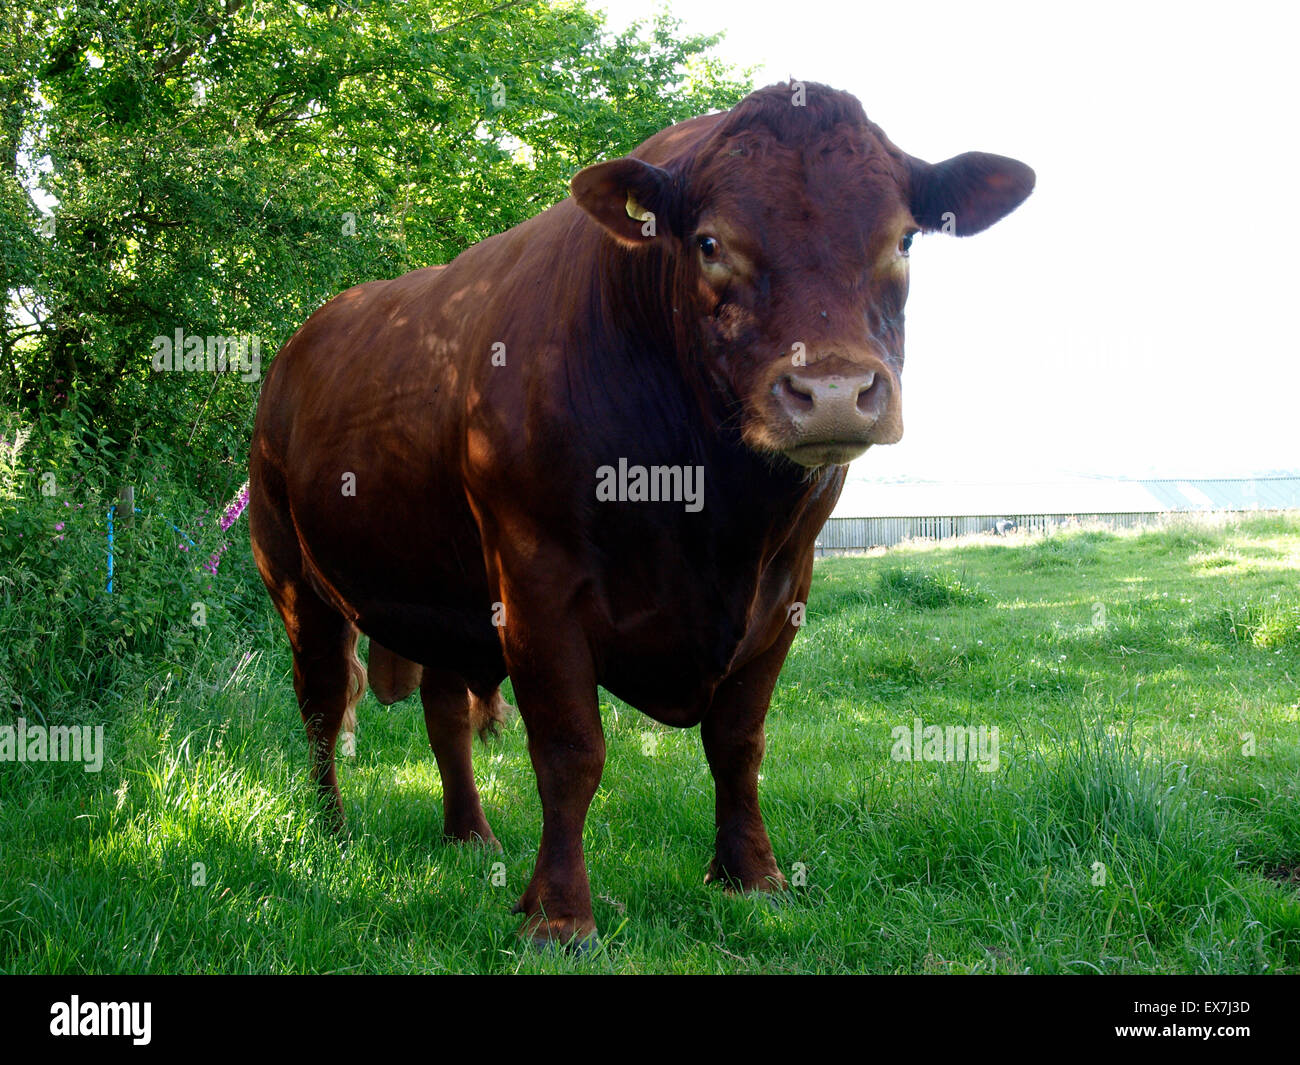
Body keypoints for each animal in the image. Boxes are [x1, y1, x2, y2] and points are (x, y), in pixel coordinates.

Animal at [249, 81, 1034, 950]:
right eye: (711, 243)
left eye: (905, 239)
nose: (832, 391)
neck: (713, 507)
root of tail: (295, 349)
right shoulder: (537, 583)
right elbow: (570, 752)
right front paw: (559, 913)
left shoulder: (785, 586)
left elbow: (739, 741)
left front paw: (753, 876)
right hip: (296, 580)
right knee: (322, 705)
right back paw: (332, 830)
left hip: (440, 589)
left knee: (445, 708)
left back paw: (469, 834)